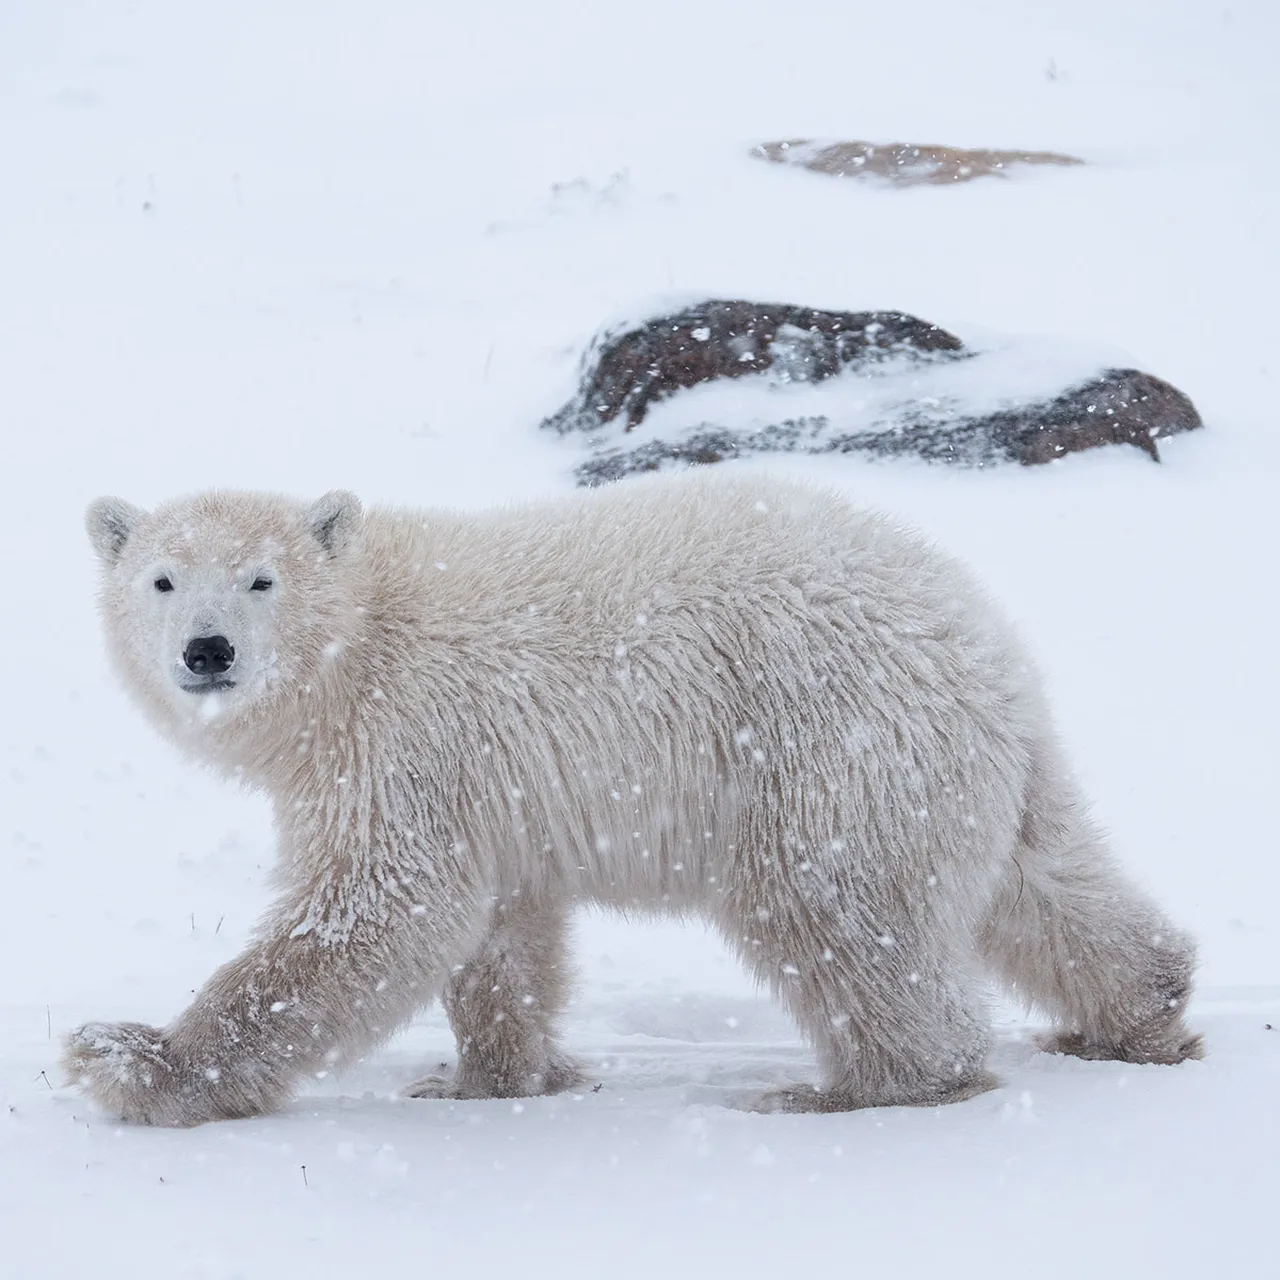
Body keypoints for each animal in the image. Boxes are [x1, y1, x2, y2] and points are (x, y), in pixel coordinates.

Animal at [65, 471, 1203, 1126]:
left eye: (260, 579)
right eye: (162, 579)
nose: (207, 651)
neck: (356, 646)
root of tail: (985, 646)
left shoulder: (403, 740)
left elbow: (377, 911)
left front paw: (136, 1062)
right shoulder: (486, 788)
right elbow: (501, 933)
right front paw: (488, 1078)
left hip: (824, 751)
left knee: (835, 913)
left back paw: (847, 1088)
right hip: (952, 769)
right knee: (1040, 882)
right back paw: (1137, 1012)